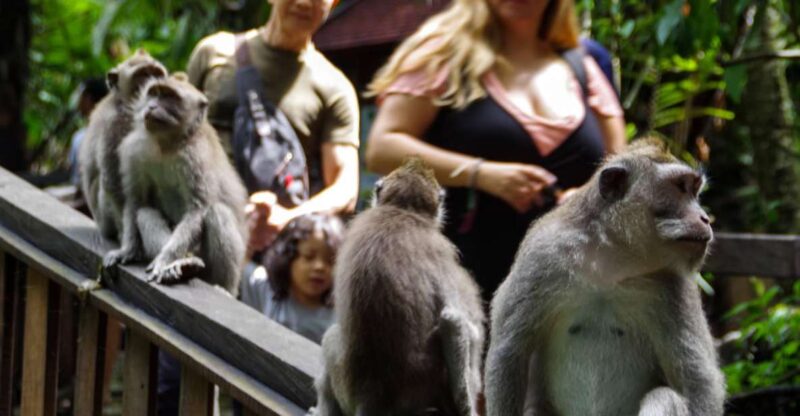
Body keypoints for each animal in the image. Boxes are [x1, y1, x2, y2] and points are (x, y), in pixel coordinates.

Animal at [79, 49, 167, 240]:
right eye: (143, 75)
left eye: (157, 74)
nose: (155, 86)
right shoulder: (115, 124)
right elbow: (114, 182)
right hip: (105, 218)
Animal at [102, 72, 248, 296]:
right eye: (154, 93)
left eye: (169, 96)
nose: (151, 106)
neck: (168, 144)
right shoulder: (135, 151)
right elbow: (136, 201)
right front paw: (127, 250)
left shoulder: (198, 157)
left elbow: (197, 210)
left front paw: (164, 260)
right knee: (145, 213)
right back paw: (183, 264)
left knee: (218, 213)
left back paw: (220, 287)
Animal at [484, 138, 726, 416]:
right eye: (680, 187)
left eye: (694, 190)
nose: (705, 218)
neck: (612, 261)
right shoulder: (542, 256)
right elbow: (510, 351)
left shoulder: (675, 283)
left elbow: (697, 380)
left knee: (664, 397)